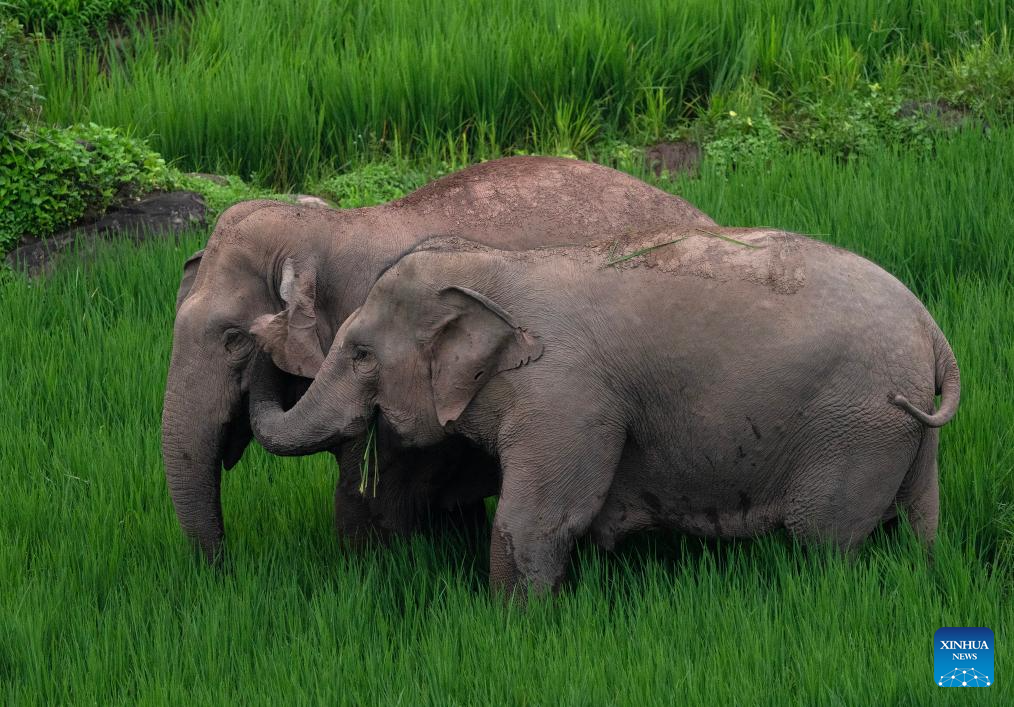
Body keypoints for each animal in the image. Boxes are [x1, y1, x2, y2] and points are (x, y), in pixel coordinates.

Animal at [247, 226, 960, 595]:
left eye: (362, 353)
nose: (256, 329)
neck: (500, 270)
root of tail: (933, 332)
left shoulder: (566, 395)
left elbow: (536, 520)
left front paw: (514, 628)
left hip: (856, 425)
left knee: (824, 542)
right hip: (901, 431)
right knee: (919, 523)